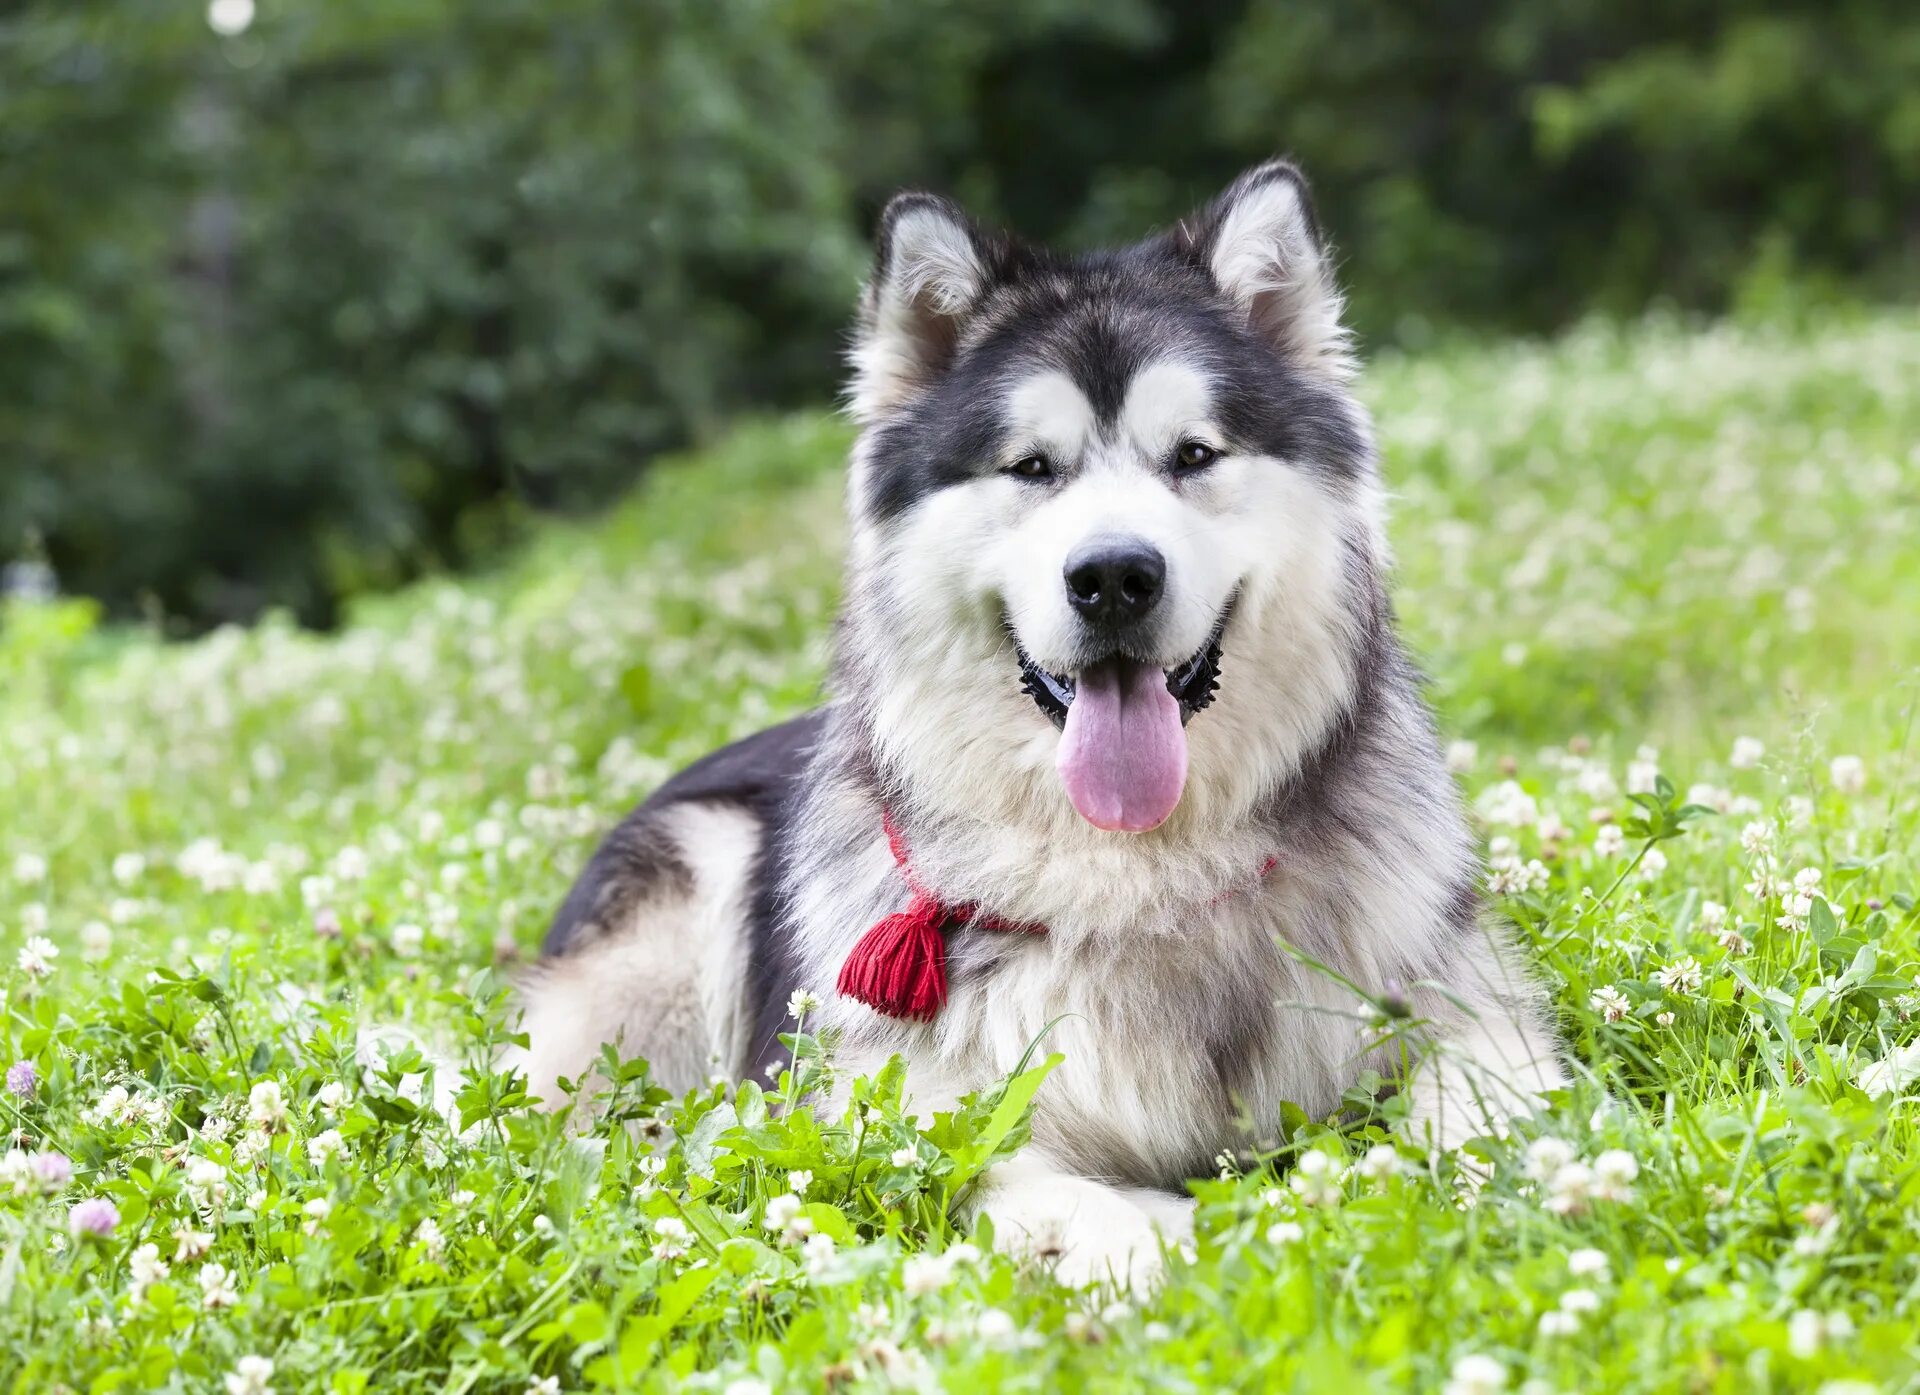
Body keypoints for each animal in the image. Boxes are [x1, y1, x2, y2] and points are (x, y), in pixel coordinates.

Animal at [518, 161, 1566, 1289]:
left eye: (1194, 454)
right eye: (1029, 468)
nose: (1113, 576)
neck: (1137, 865)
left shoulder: (1466, 998)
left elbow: (1484, 1107)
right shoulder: (909, 1115)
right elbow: (1071, 1199)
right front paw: (1173, 1244)